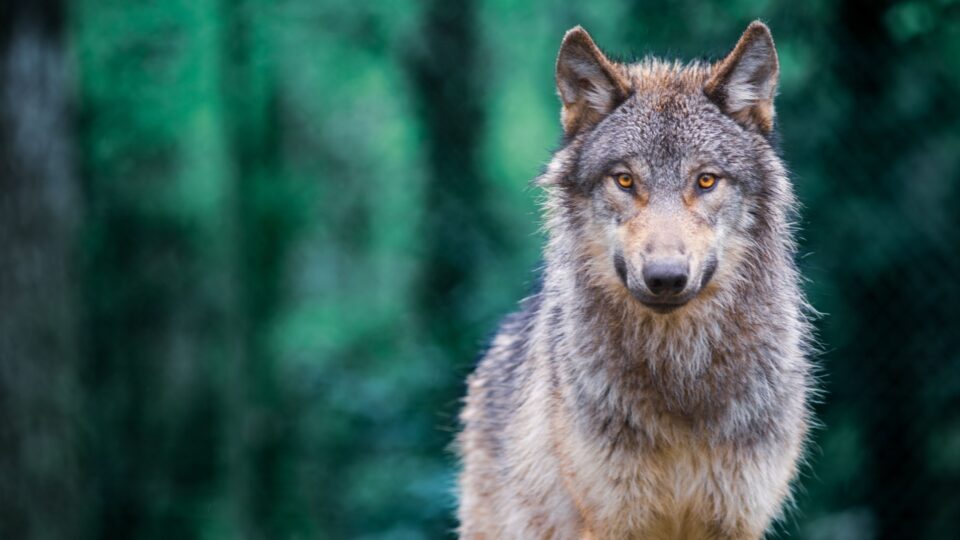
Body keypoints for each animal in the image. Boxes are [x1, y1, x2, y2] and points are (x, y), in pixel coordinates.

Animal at [456, 21, 814, 540]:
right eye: (624, 180)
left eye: (706, 181)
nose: (665, 277)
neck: (679, 377)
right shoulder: (611, 520)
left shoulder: (738, 519)